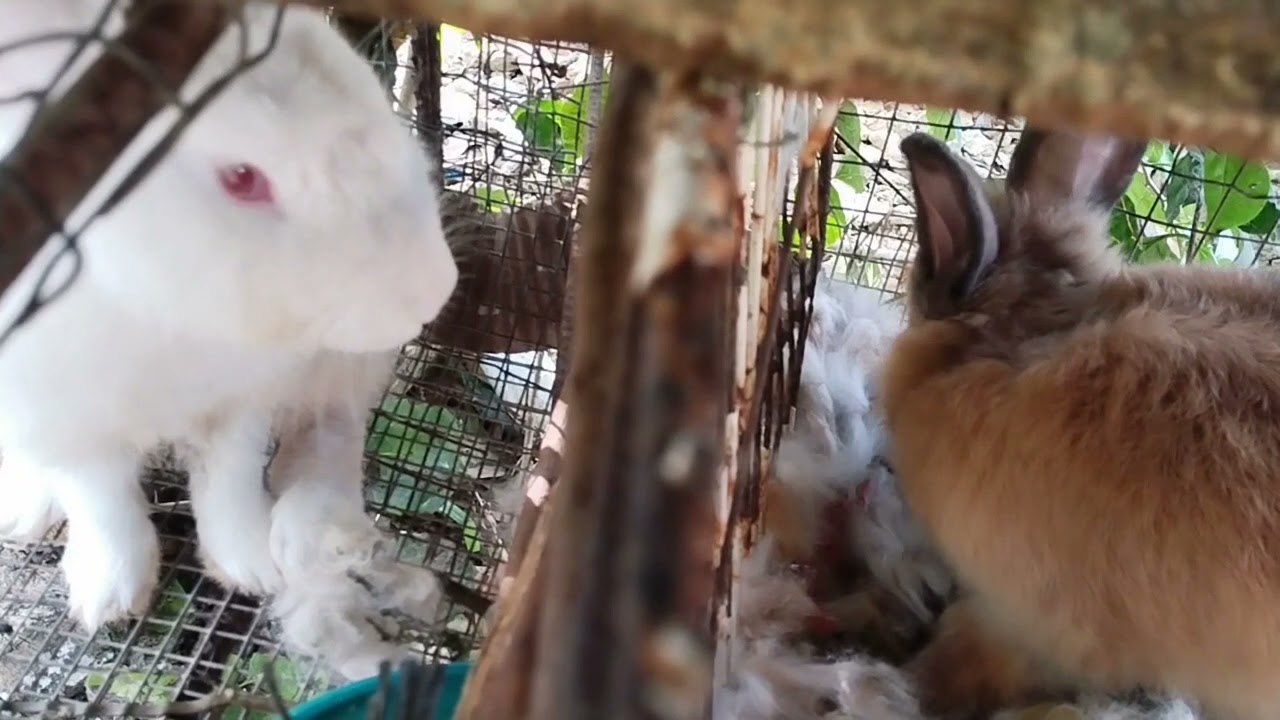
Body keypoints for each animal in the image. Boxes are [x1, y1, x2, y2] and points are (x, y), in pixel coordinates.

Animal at [0, 0, 457, 631]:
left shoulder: (245, 398)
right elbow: (101, 497)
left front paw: (251, 566)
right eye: (242, 178)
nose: (433, 292)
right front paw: (110, 595)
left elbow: (229, 478)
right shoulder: (63, 415)